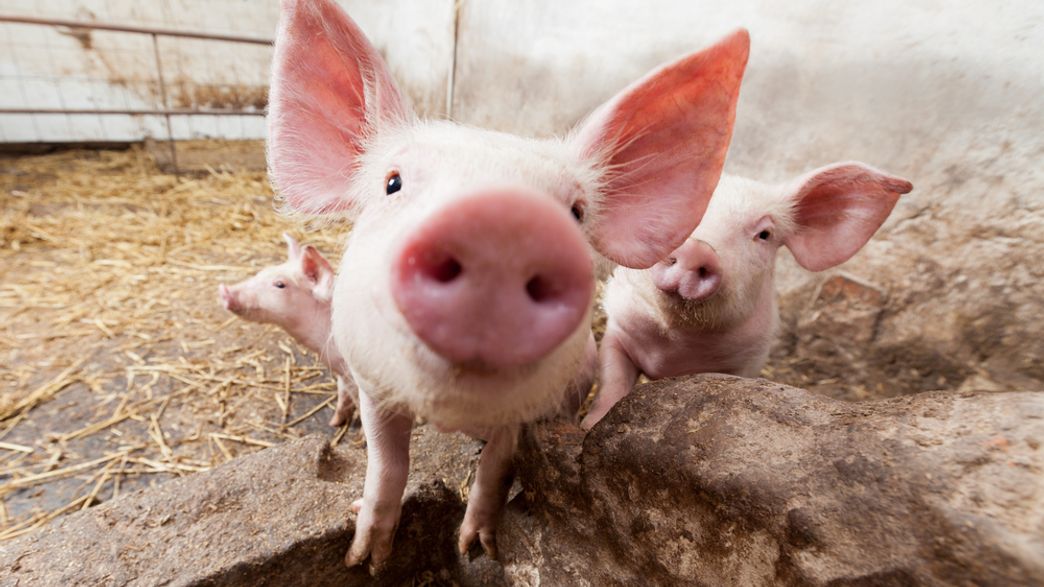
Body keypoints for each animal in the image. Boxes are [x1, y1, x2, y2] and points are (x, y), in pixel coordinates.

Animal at [218, 233, 356, 427]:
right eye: (261, 273)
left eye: (280, 284)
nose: (224, 289)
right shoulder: (343, 374)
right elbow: (343, 394)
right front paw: (334, 423)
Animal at [266, 0, 749, 571]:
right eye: (393, 183)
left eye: (576, 211)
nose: (502, 221)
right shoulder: (372, 384)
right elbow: (387, 465)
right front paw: (366, 558)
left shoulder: (532, 411)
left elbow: (496, 467)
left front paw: (477, 548)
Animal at [580, 163, 913, 430]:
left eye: (764, 234)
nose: (697, 249)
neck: (674, 345)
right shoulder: (619, 330)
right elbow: (612, 380)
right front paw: (590, 425)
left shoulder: (748, 361)